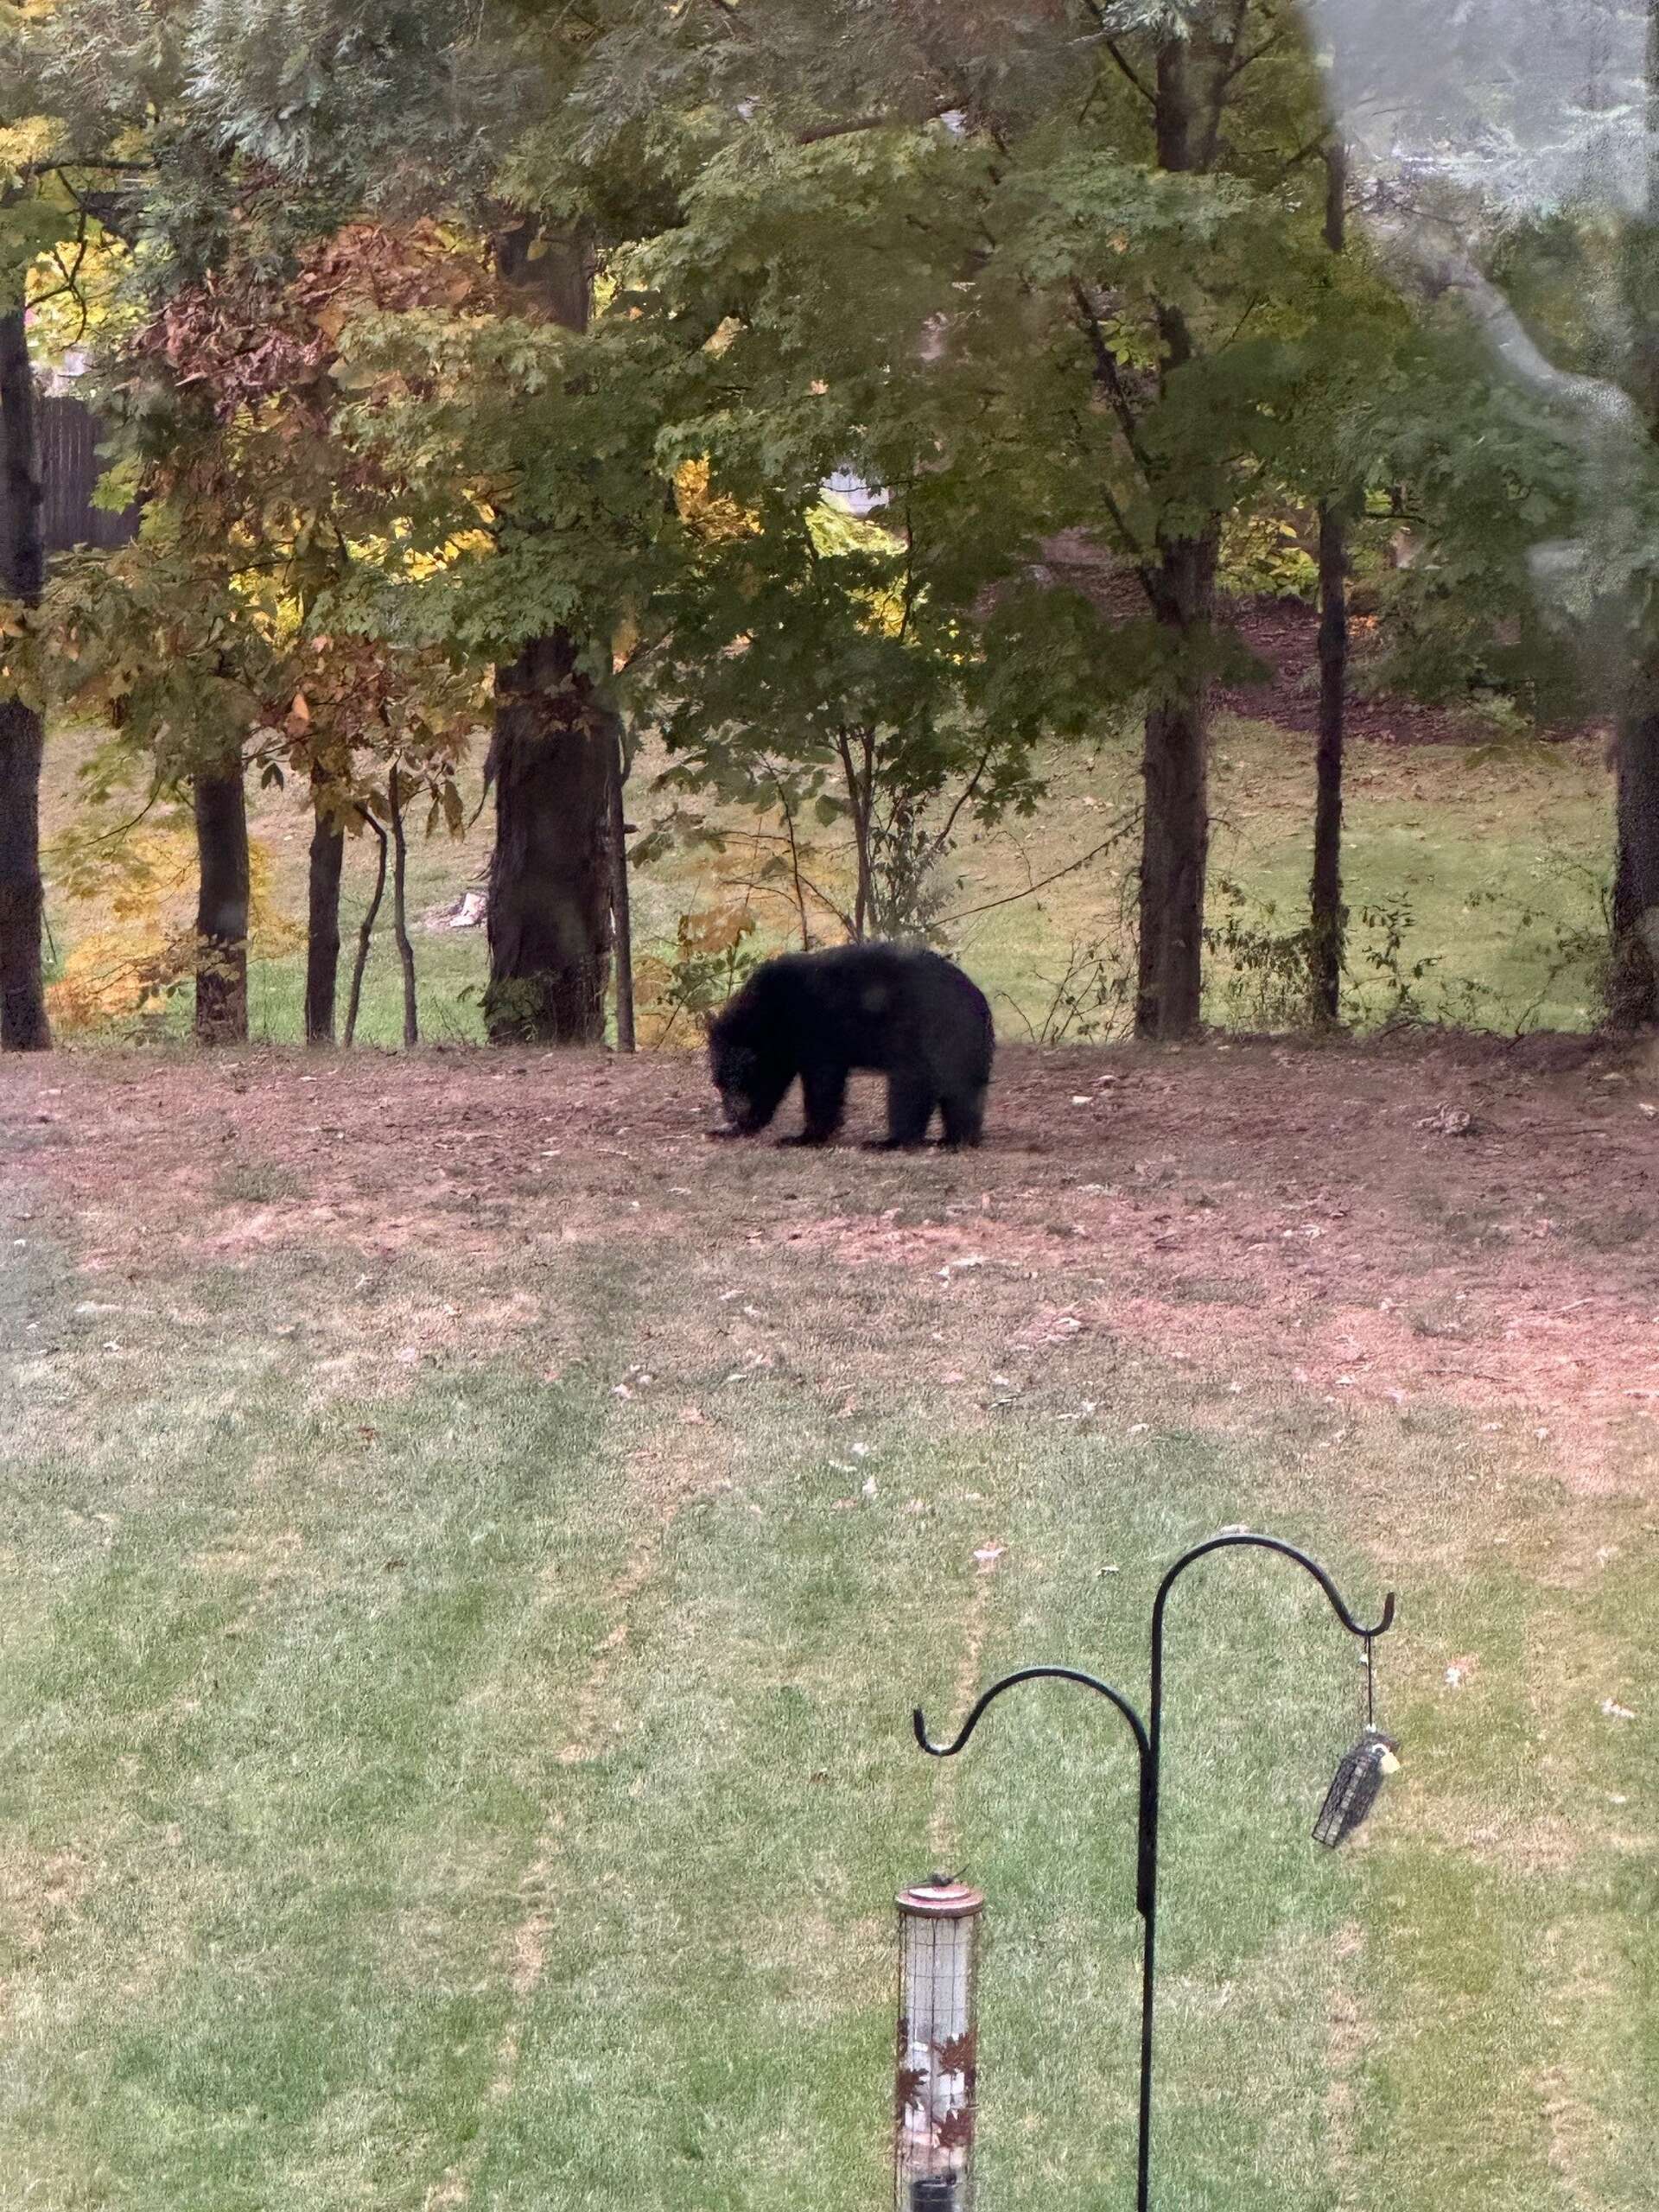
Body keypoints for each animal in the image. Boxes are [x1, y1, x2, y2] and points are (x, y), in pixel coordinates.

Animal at [708, 942, 994, 1150]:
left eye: (739, 1081)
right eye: (719, 1083)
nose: (732, 1115)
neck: (774, 1013)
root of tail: (980, 1003)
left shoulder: (818, 1032)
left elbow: (823, 1085)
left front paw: (803, 1137)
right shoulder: (783, 1053)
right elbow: (773, 1086)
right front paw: (733, 1129)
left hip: (931, 1036)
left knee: (911, 1089)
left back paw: (889, 1142)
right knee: (961, 1094)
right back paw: (954, 1138)